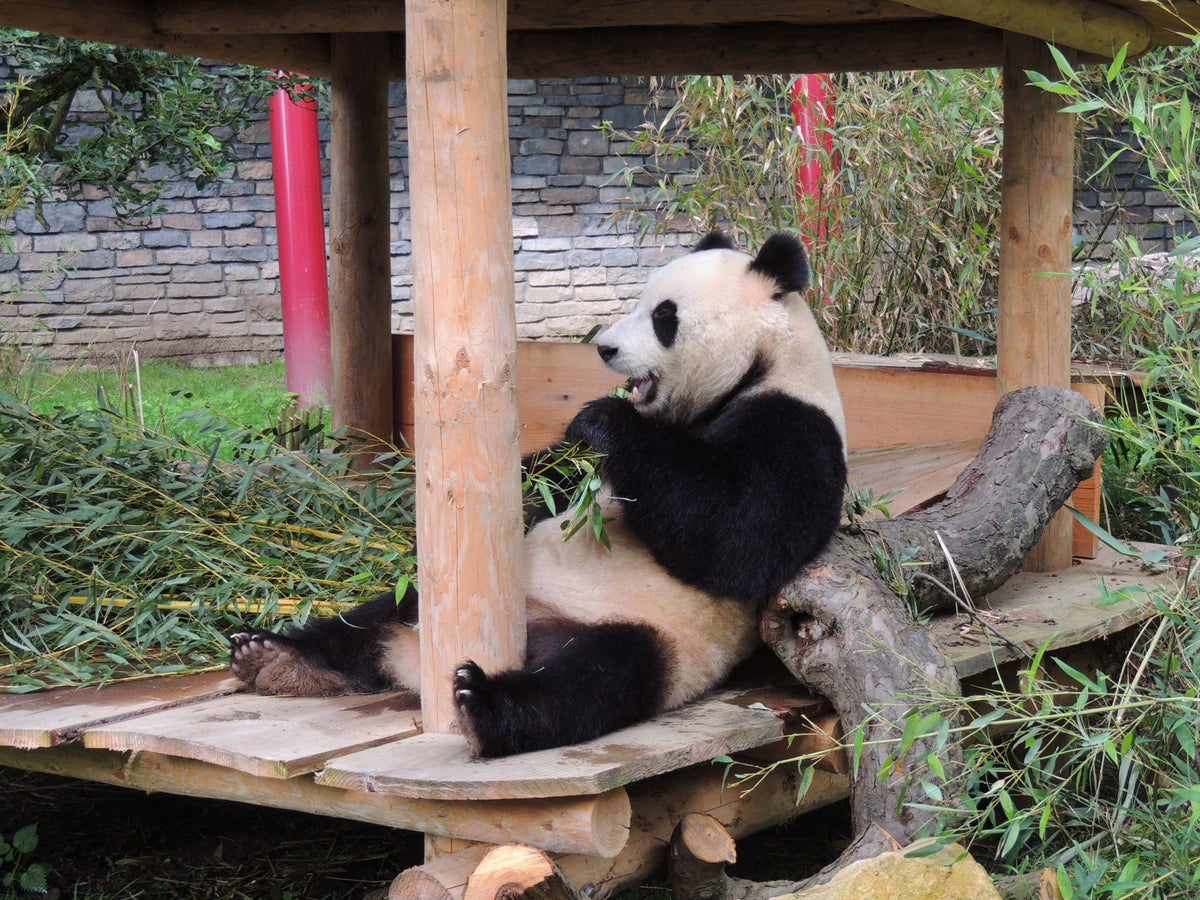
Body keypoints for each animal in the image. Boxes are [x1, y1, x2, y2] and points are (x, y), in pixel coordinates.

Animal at [229, 231, 847, 758]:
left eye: (664, 316)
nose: (605, 349)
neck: (759, 365)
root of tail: (539, 627)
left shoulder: (796, 426)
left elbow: (739, 540)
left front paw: (605, 420)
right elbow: (549, 481)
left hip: (657, 635)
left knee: (591, 679)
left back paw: (482, 707)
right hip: (433, 603)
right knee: (372, 621)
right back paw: (276, 658)